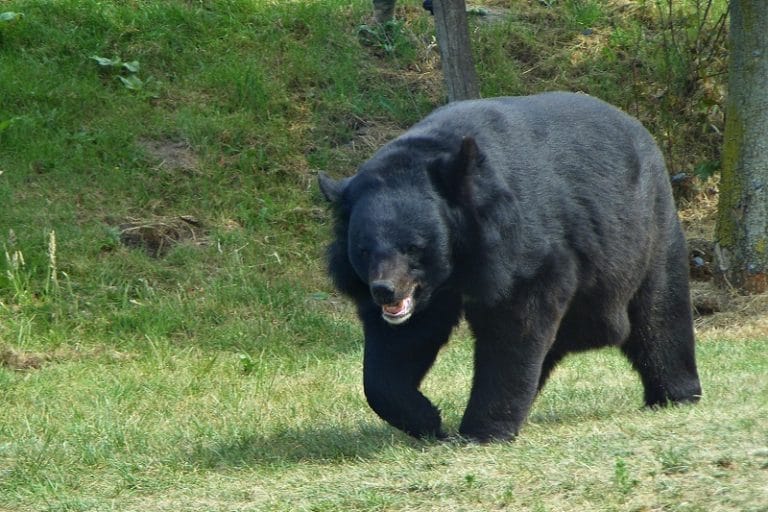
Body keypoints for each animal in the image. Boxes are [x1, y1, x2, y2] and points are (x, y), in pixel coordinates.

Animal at [318, 92, 702, 442]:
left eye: (413, 247)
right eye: (364, 251)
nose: (385, 291)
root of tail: (639, 128)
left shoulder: (521, 249)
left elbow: (515, 325)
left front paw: (480, 432)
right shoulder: (427, 294)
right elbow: (398, 348)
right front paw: (428, 420)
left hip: (645, 230)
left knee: (658, 311)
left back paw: (675, 394)